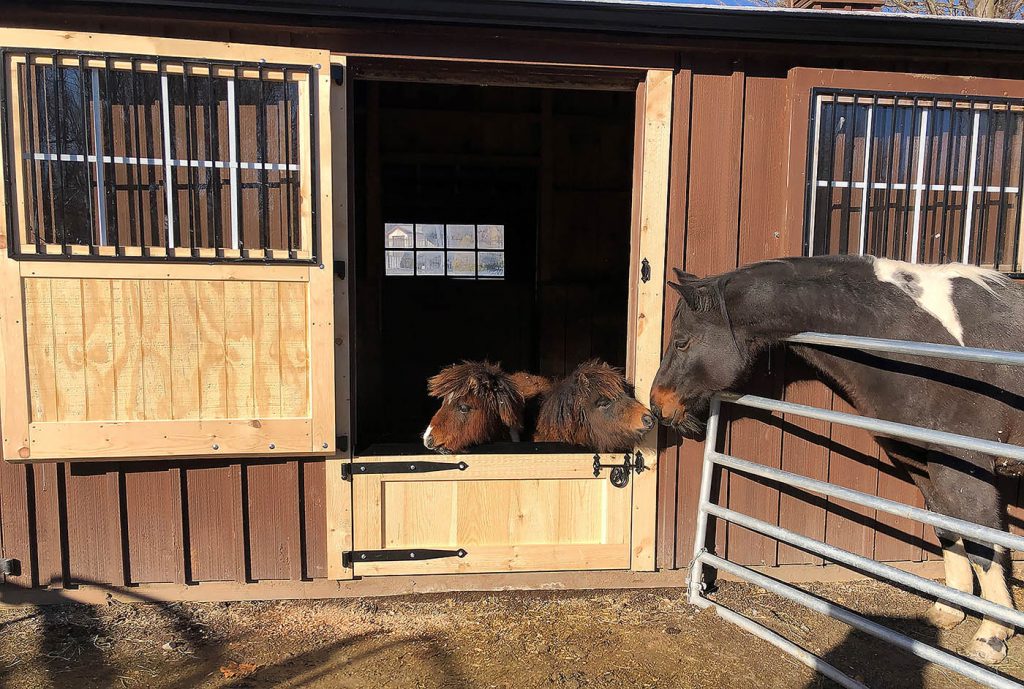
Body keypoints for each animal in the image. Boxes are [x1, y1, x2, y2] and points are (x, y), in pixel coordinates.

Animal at [650, 254, 1024, 665]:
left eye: (682, 341)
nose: (657, 405)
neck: (915, 340)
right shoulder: (922, 463)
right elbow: (947, 530)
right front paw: (948, 611)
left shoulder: (963, 467)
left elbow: (983, 542)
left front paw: (992, 635)